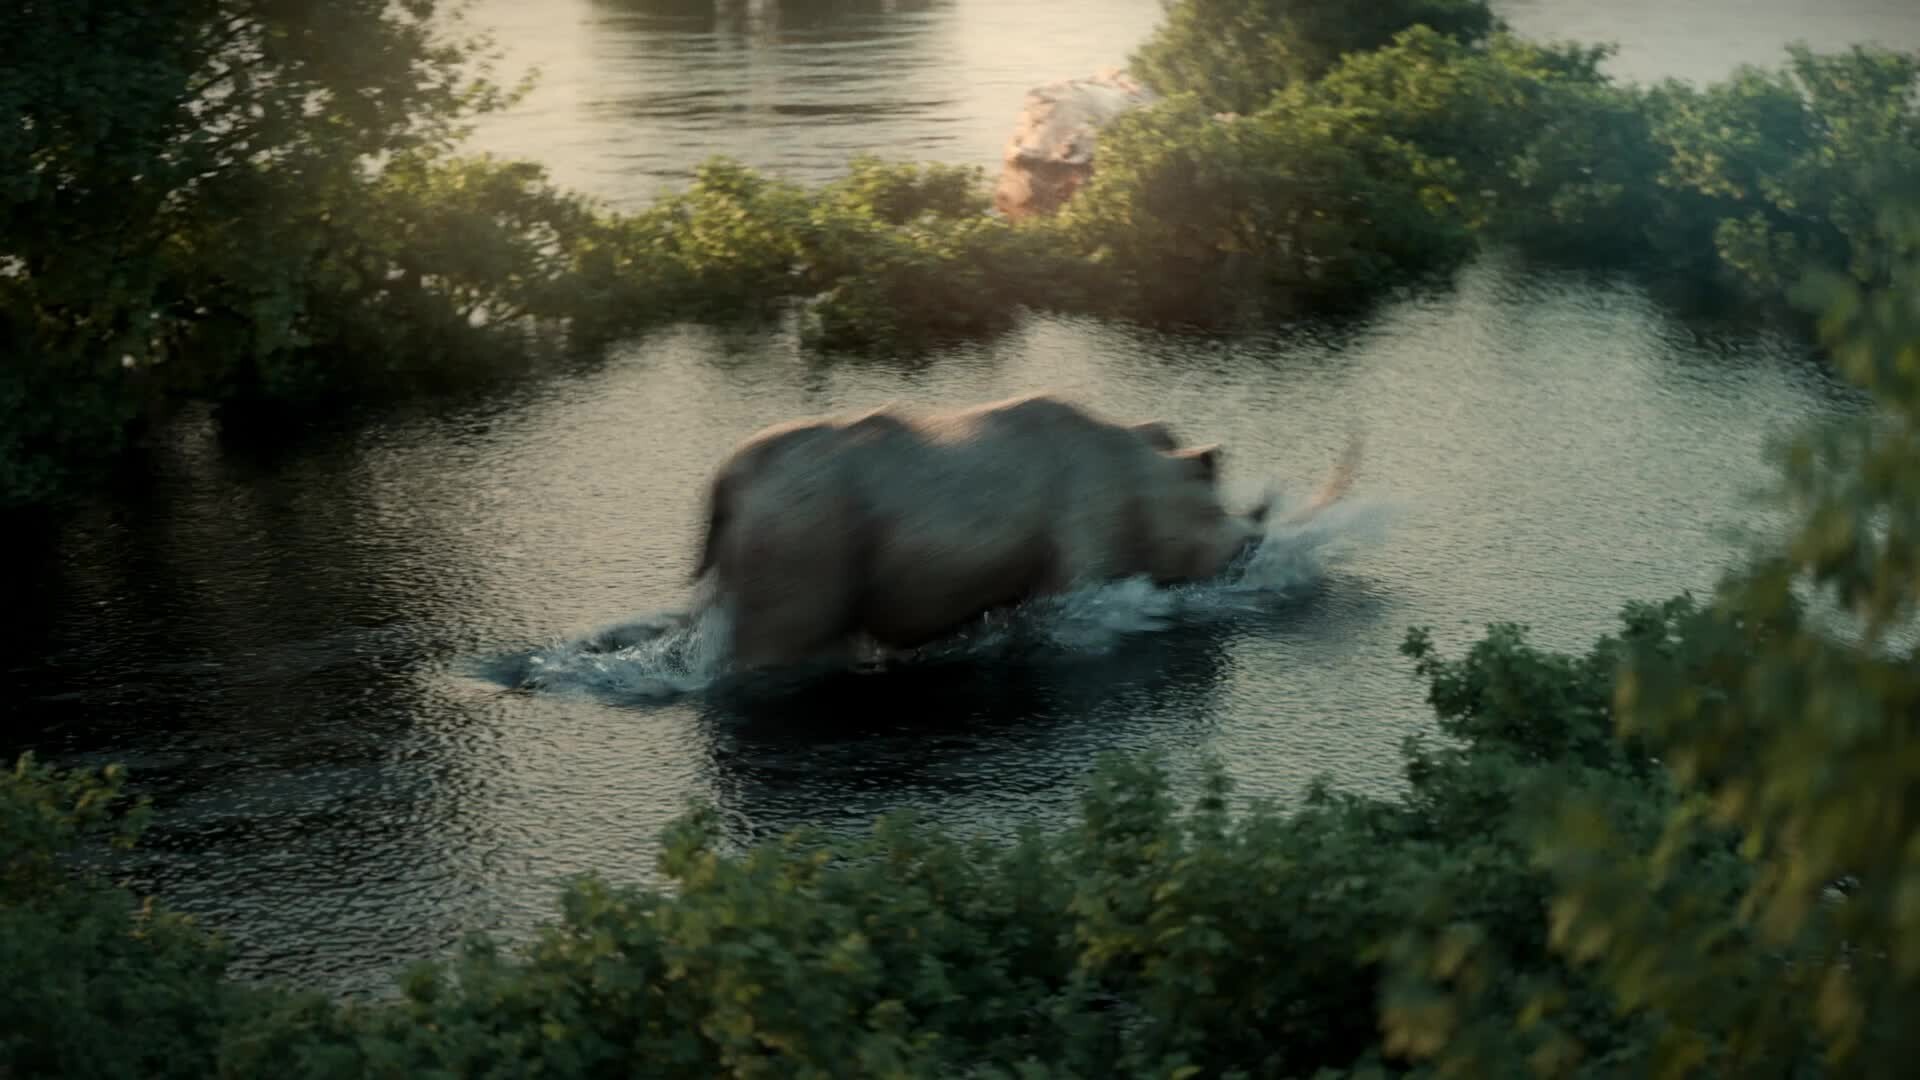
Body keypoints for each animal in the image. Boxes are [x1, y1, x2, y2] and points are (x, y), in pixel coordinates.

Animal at [688, 393, 1355, 672]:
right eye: (1227, 526)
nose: (1249, 556)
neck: (1150, 479)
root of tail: (729, 478)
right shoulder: (1084, 563)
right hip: (806, 519)